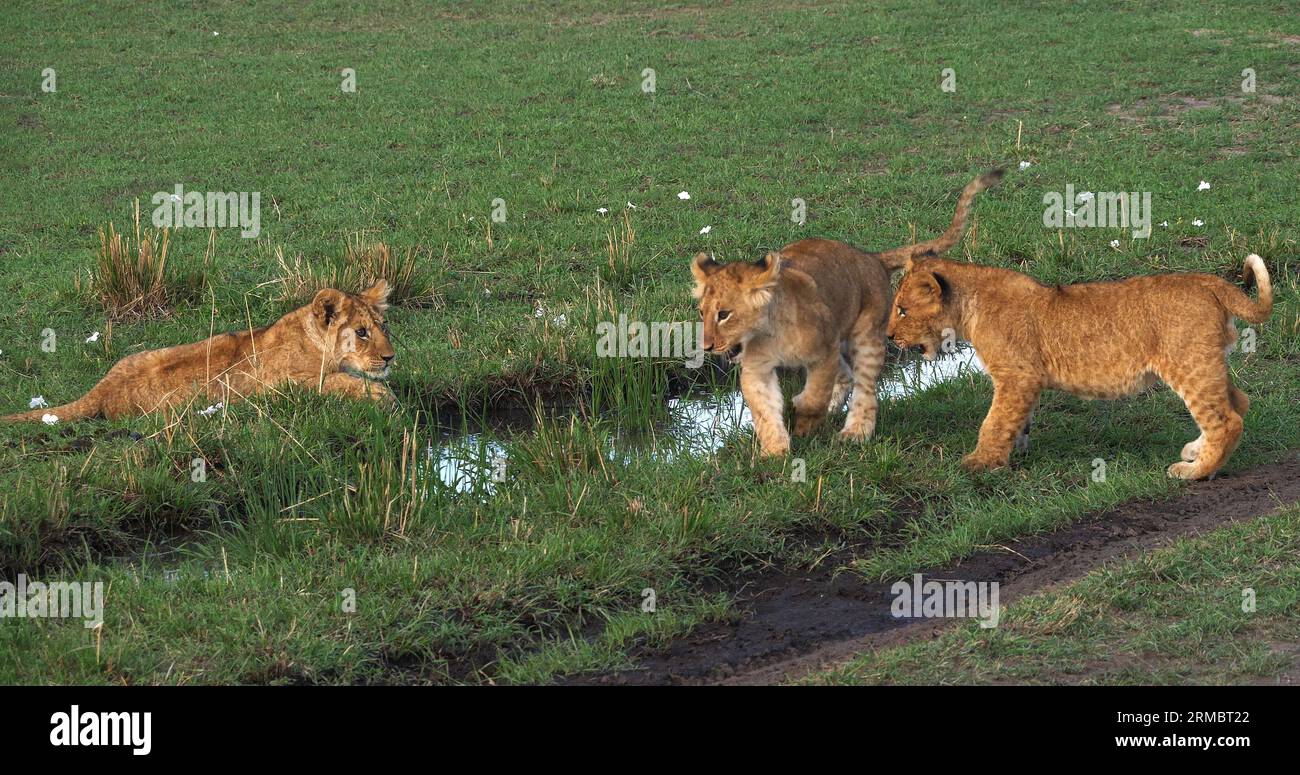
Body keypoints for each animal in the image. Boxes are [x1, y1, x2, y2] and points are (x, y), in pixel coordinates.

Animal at [4, 281, 397, 423]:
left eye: (383, 327)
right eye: (361, 332)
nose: (390, 357)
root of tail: (101, 390)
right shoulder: (275, 386)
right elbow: (332, 382)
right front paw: (382, 396)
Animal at [691, 169, 1003, 456]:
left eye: (724, 314)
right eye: (702, 313)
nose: (706, 347)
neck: (767, 336)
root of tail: (872, 258)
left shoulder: (823, 353)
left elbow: (815, 395)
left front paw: (804, 419)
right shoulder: (757, 369)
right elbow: (764, 411)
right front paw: (775, 453)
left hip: (866, 337)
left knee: (864, 388)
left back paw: (855, 432)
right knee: (846, 376)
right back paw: (833, 410)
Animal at [886, 253, 1272, 480]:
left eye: (902, 310)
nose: (888, 336)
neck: (969, 306)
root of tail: (1206, 280)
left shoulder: (1017, 375)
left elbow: (994, 422)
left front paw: (981, 462)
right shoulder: (1026, 381)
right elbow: (1015, 419)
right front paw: (1016, 447)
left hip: (1189, 365)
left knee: (1227, 421)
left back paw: (1194, 471)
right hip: (1205, 362)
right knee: (1239, 402)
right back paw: (1194, 452)